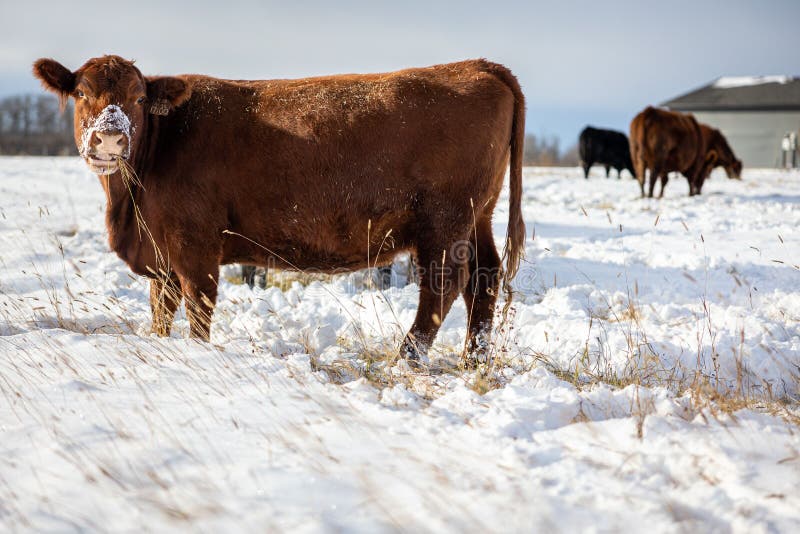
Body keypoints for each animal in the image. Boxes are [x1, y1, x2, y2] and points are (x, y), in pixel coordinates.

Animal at [32, 55, 525, 363]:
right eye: (81, 94)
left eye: (138, 98)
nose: (110, 138)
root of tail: (476, 65)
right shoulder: (161, 254)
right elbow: (161, 310)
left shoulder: (195, 248)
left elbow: (197, 309)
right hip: (477, 218)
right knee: (483, 279)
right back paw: (473, 361)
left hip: (444, 223)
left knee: (443, 287)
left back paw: (405, 360)